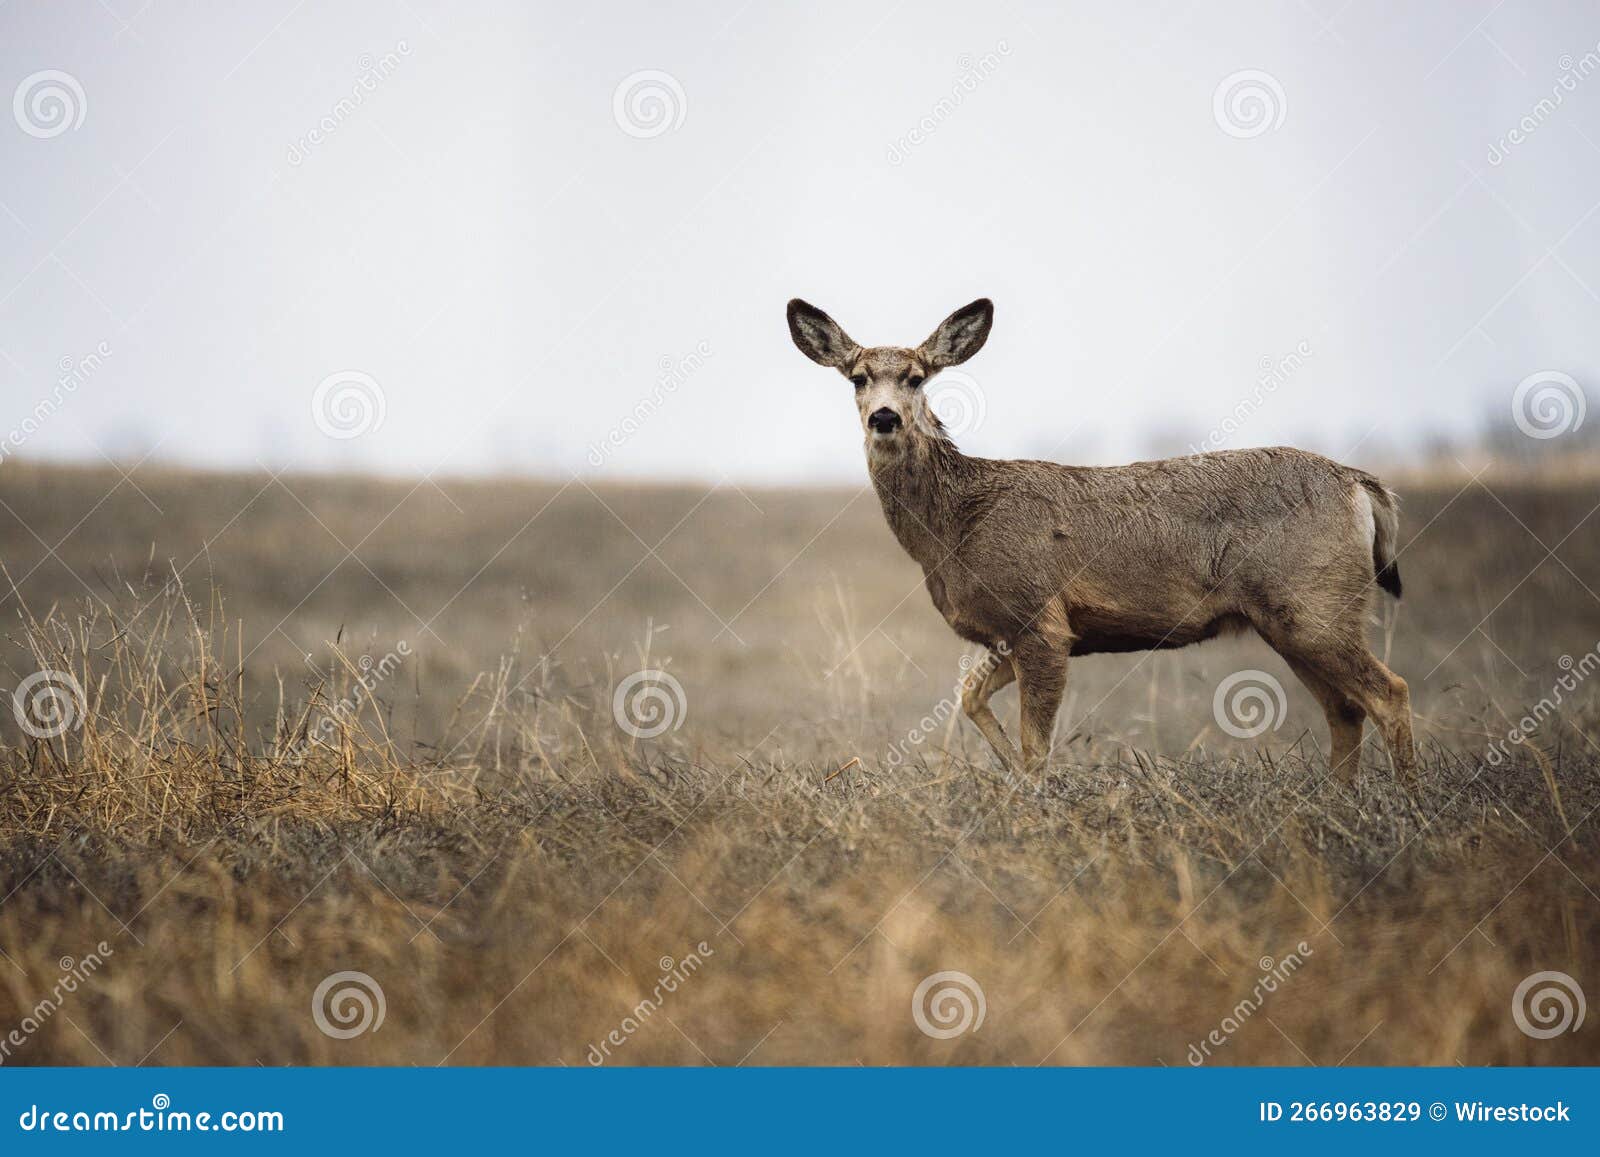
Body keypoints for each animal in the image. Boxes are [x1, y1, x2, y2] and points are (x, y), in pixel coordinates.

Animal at [786, 296, 1417, 780]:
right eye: (858, 378)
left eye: (916, 378)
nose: (885, 417)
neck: (954, 529)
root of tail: (1362, 485)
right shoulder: (1012, 634)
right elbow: (970, 697)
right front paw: (1011, 781)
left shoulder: (1041, 619)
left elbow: (1035, 747)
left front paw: (1033, 801)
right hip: (1290, 619)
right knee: (1345, 709)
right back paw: (1341, 799)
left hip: (1313, 605)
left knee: (1388, 692)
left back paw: (1404, 807)